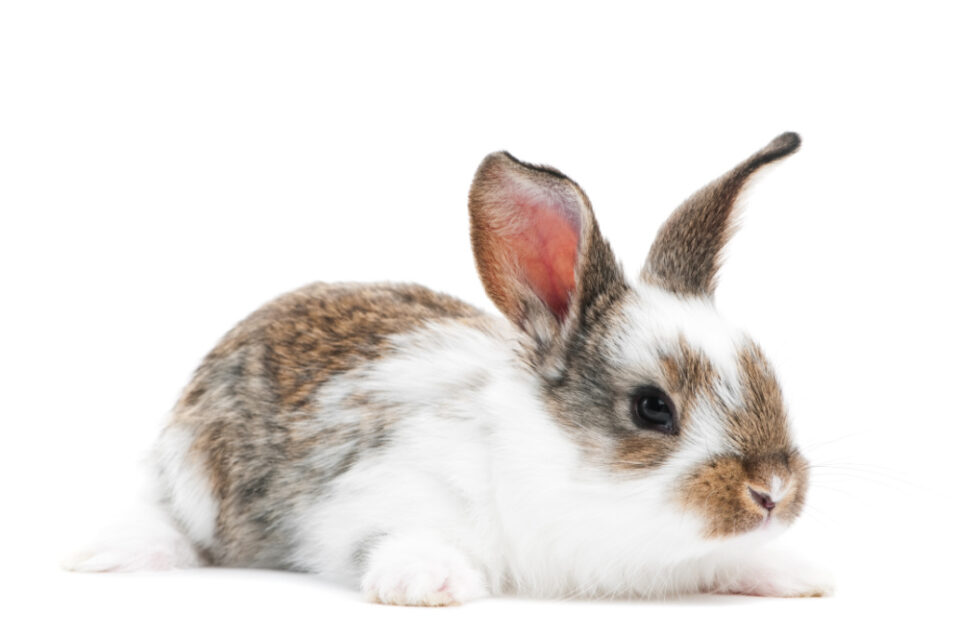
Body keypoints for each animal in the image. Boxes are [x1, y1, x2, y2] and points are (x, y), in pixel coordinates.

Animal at [66, 132, 833, 605]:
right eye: (652, 408)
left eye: (768, 377)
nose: (772, 491)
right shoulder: (379, 496)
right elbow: (398, 537)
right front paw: (427, 583)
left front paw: (794, 576)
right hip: (194, 483)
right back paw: (105, 555)